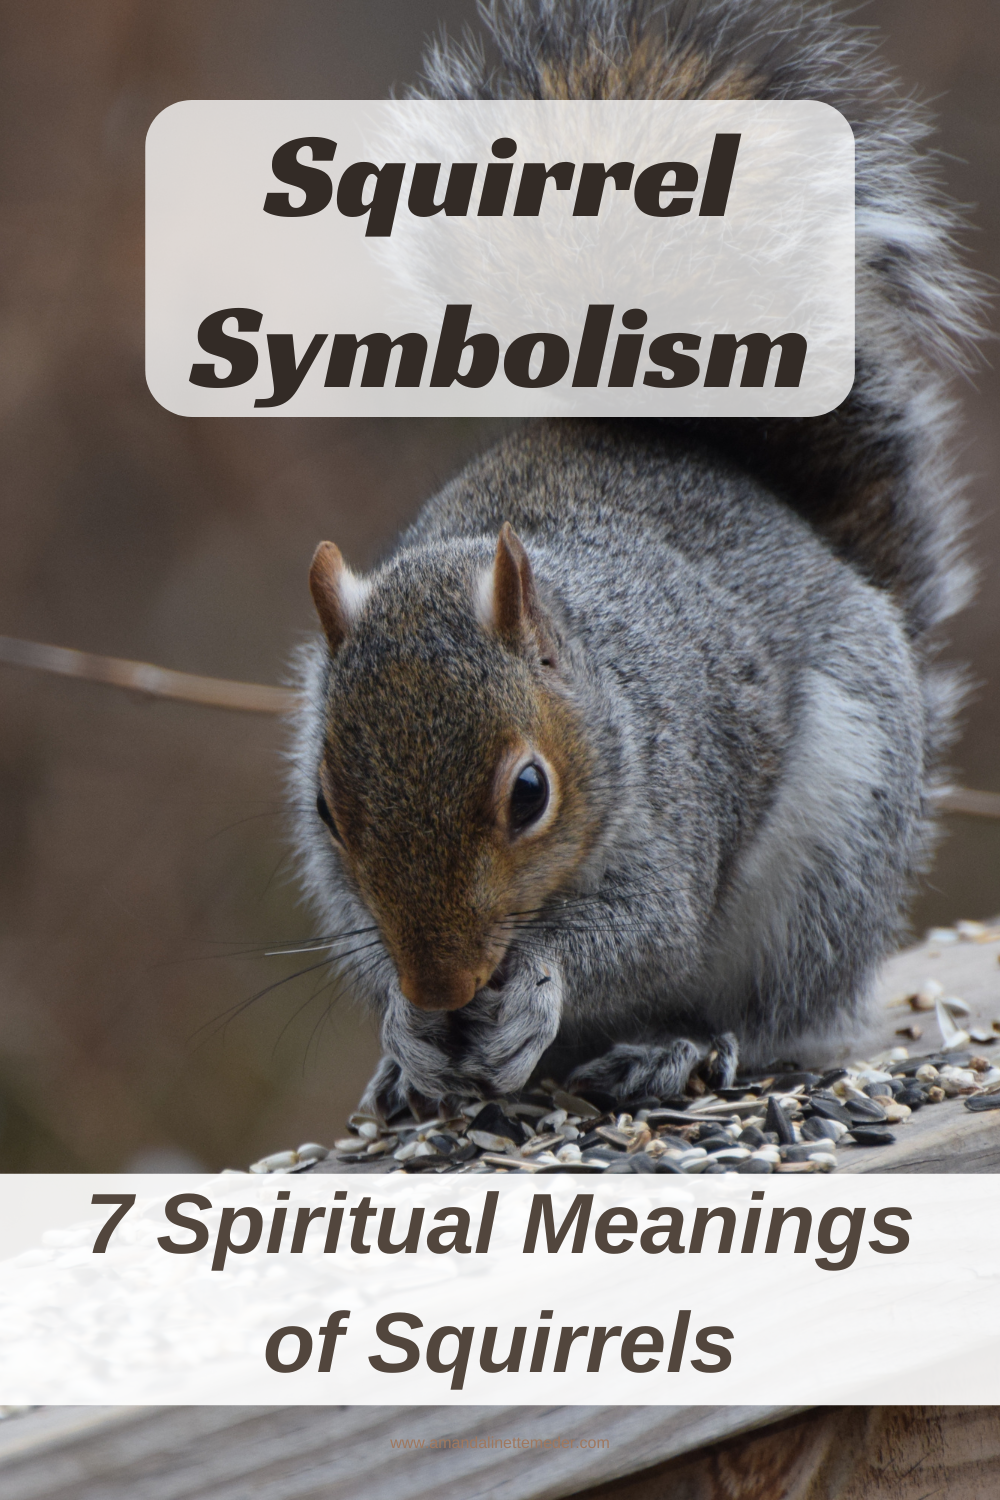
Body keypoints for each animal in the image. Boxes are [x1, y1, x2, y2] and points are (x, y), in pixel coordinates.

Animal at [290, 0, 982, 1120]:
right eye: (324, 807)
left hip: (835, 853)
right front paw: (402, 1032)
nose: (442, 986)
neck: (591, 685)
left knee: (780, 1014)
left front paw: (538, 984)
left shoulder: (674, 794)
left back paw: (679, 1048)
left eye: (529, 795)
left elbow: (647, 928)